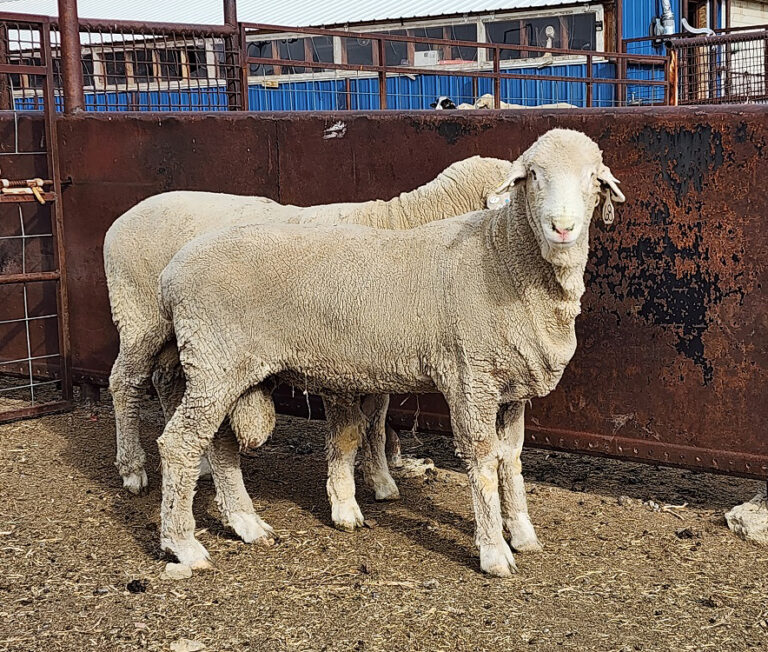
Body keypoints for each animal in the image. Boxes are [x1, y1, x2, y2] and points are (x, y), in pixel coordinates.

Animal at [104, 155, 515, 500]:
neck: (401, 225)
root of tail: (121, 220)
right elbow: (352, 425)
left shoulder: (378, 357)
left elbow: (377, 420)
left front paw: (381, 481)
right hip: (139, 315)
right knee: (125, 381)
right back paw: (132, 470)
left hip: (182, 334)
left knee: (166, 380)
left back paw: (201, 463)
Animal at [155, 128, 625, 575]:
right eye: (533, 176)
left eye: (593, 177)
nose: (562, 227)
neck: (503, 258)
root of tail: (172, 271)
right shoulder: (471, 377)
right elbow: (483, 461)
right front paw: (494, 552)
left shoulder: (512, 388)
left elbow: (509, 459)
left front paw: (523, 533)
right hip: (214, 362)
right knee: (179, 444)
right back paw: (184, 546)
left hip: (228, 371)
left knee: (218, 443)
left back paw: (247, 525)